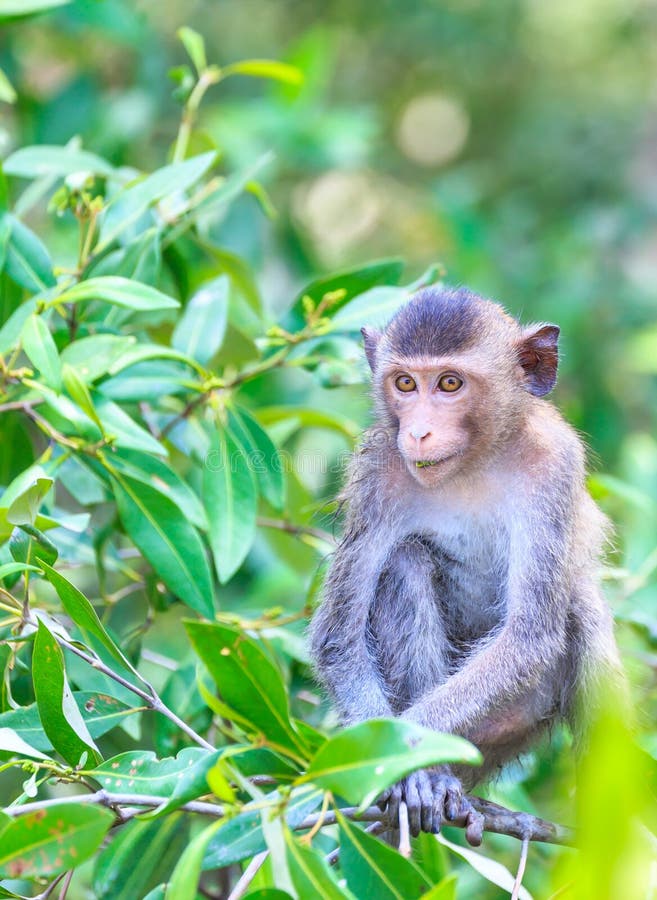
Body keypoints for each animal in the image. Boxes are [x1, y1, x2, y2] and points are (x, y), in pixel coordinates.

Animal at [309, 285, 623, 844]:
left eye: (450, 383)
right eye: (405, 383)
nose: (418, 432)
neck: (476, 460)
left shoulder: (555, 466)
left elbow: (526, 635)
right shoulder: (377, 471)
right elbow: (338, 638)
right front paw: (389, 759)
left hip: (512, 713)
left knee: (580, 605)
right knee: (405, 561)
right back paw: (433, 779)